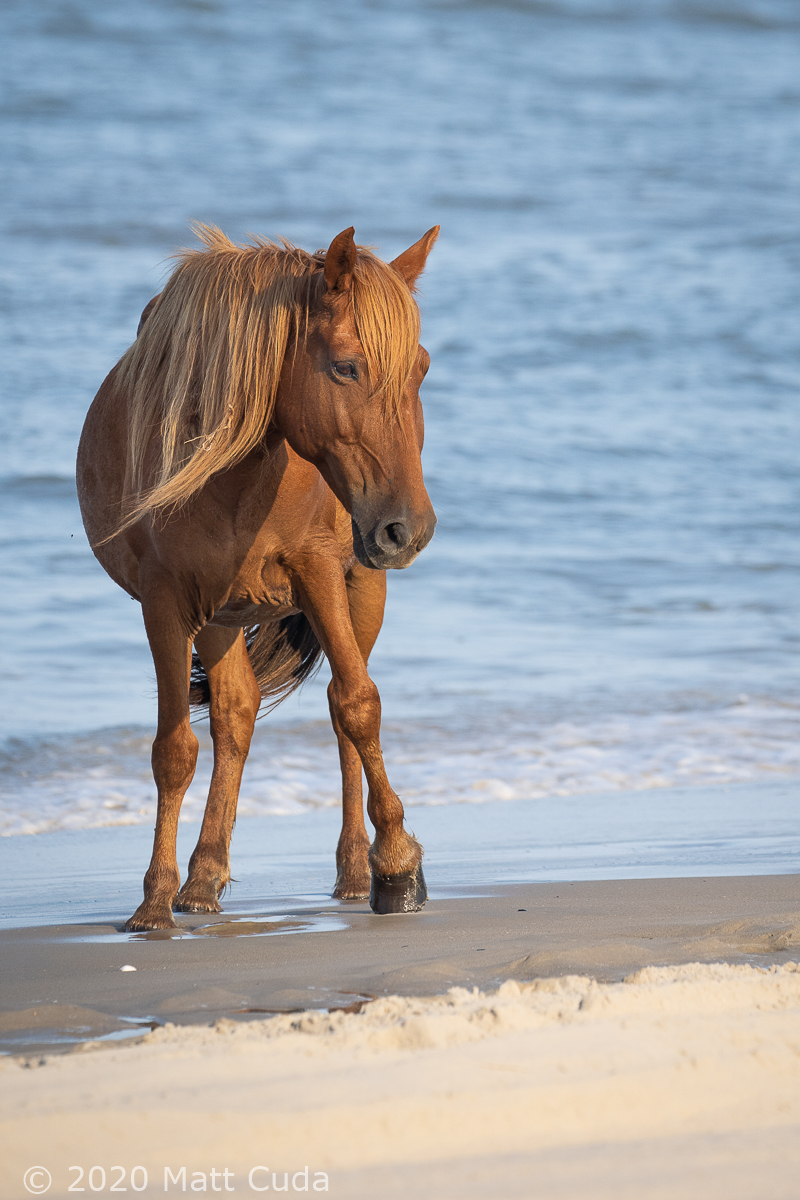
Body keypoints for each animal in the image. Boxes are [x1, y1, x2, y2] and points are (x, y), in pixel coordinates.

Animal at [77, 223, 439, 932]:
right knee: (234, 716)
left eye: (423, 366)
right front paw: (153, 901)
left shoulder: (319, 570)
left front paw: (398, 866)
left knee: (339, 720)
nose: (408, 529)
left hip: (360, 591)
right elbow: (174, 751)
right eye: (347, 367)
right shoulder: (164, 603)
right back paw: (201, 879)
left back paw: (355, 871)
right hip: (219, 615)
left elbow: (359, 705)